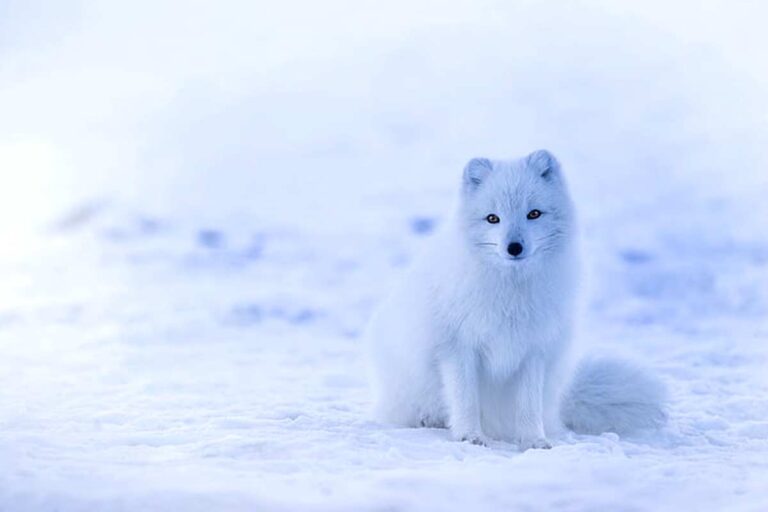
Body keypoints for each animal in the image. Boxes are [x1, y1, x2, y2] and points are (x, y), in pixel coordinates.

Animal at [366, 150, 667, 449]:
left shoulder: (534, 349)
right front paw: (470, 436)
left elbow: (528, 405)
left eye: (533, 214)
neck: (511, 293)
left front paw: (534, 440)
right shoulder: (457, 347)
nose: (514, 247)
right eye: (492, 218)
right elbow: (465, 399)